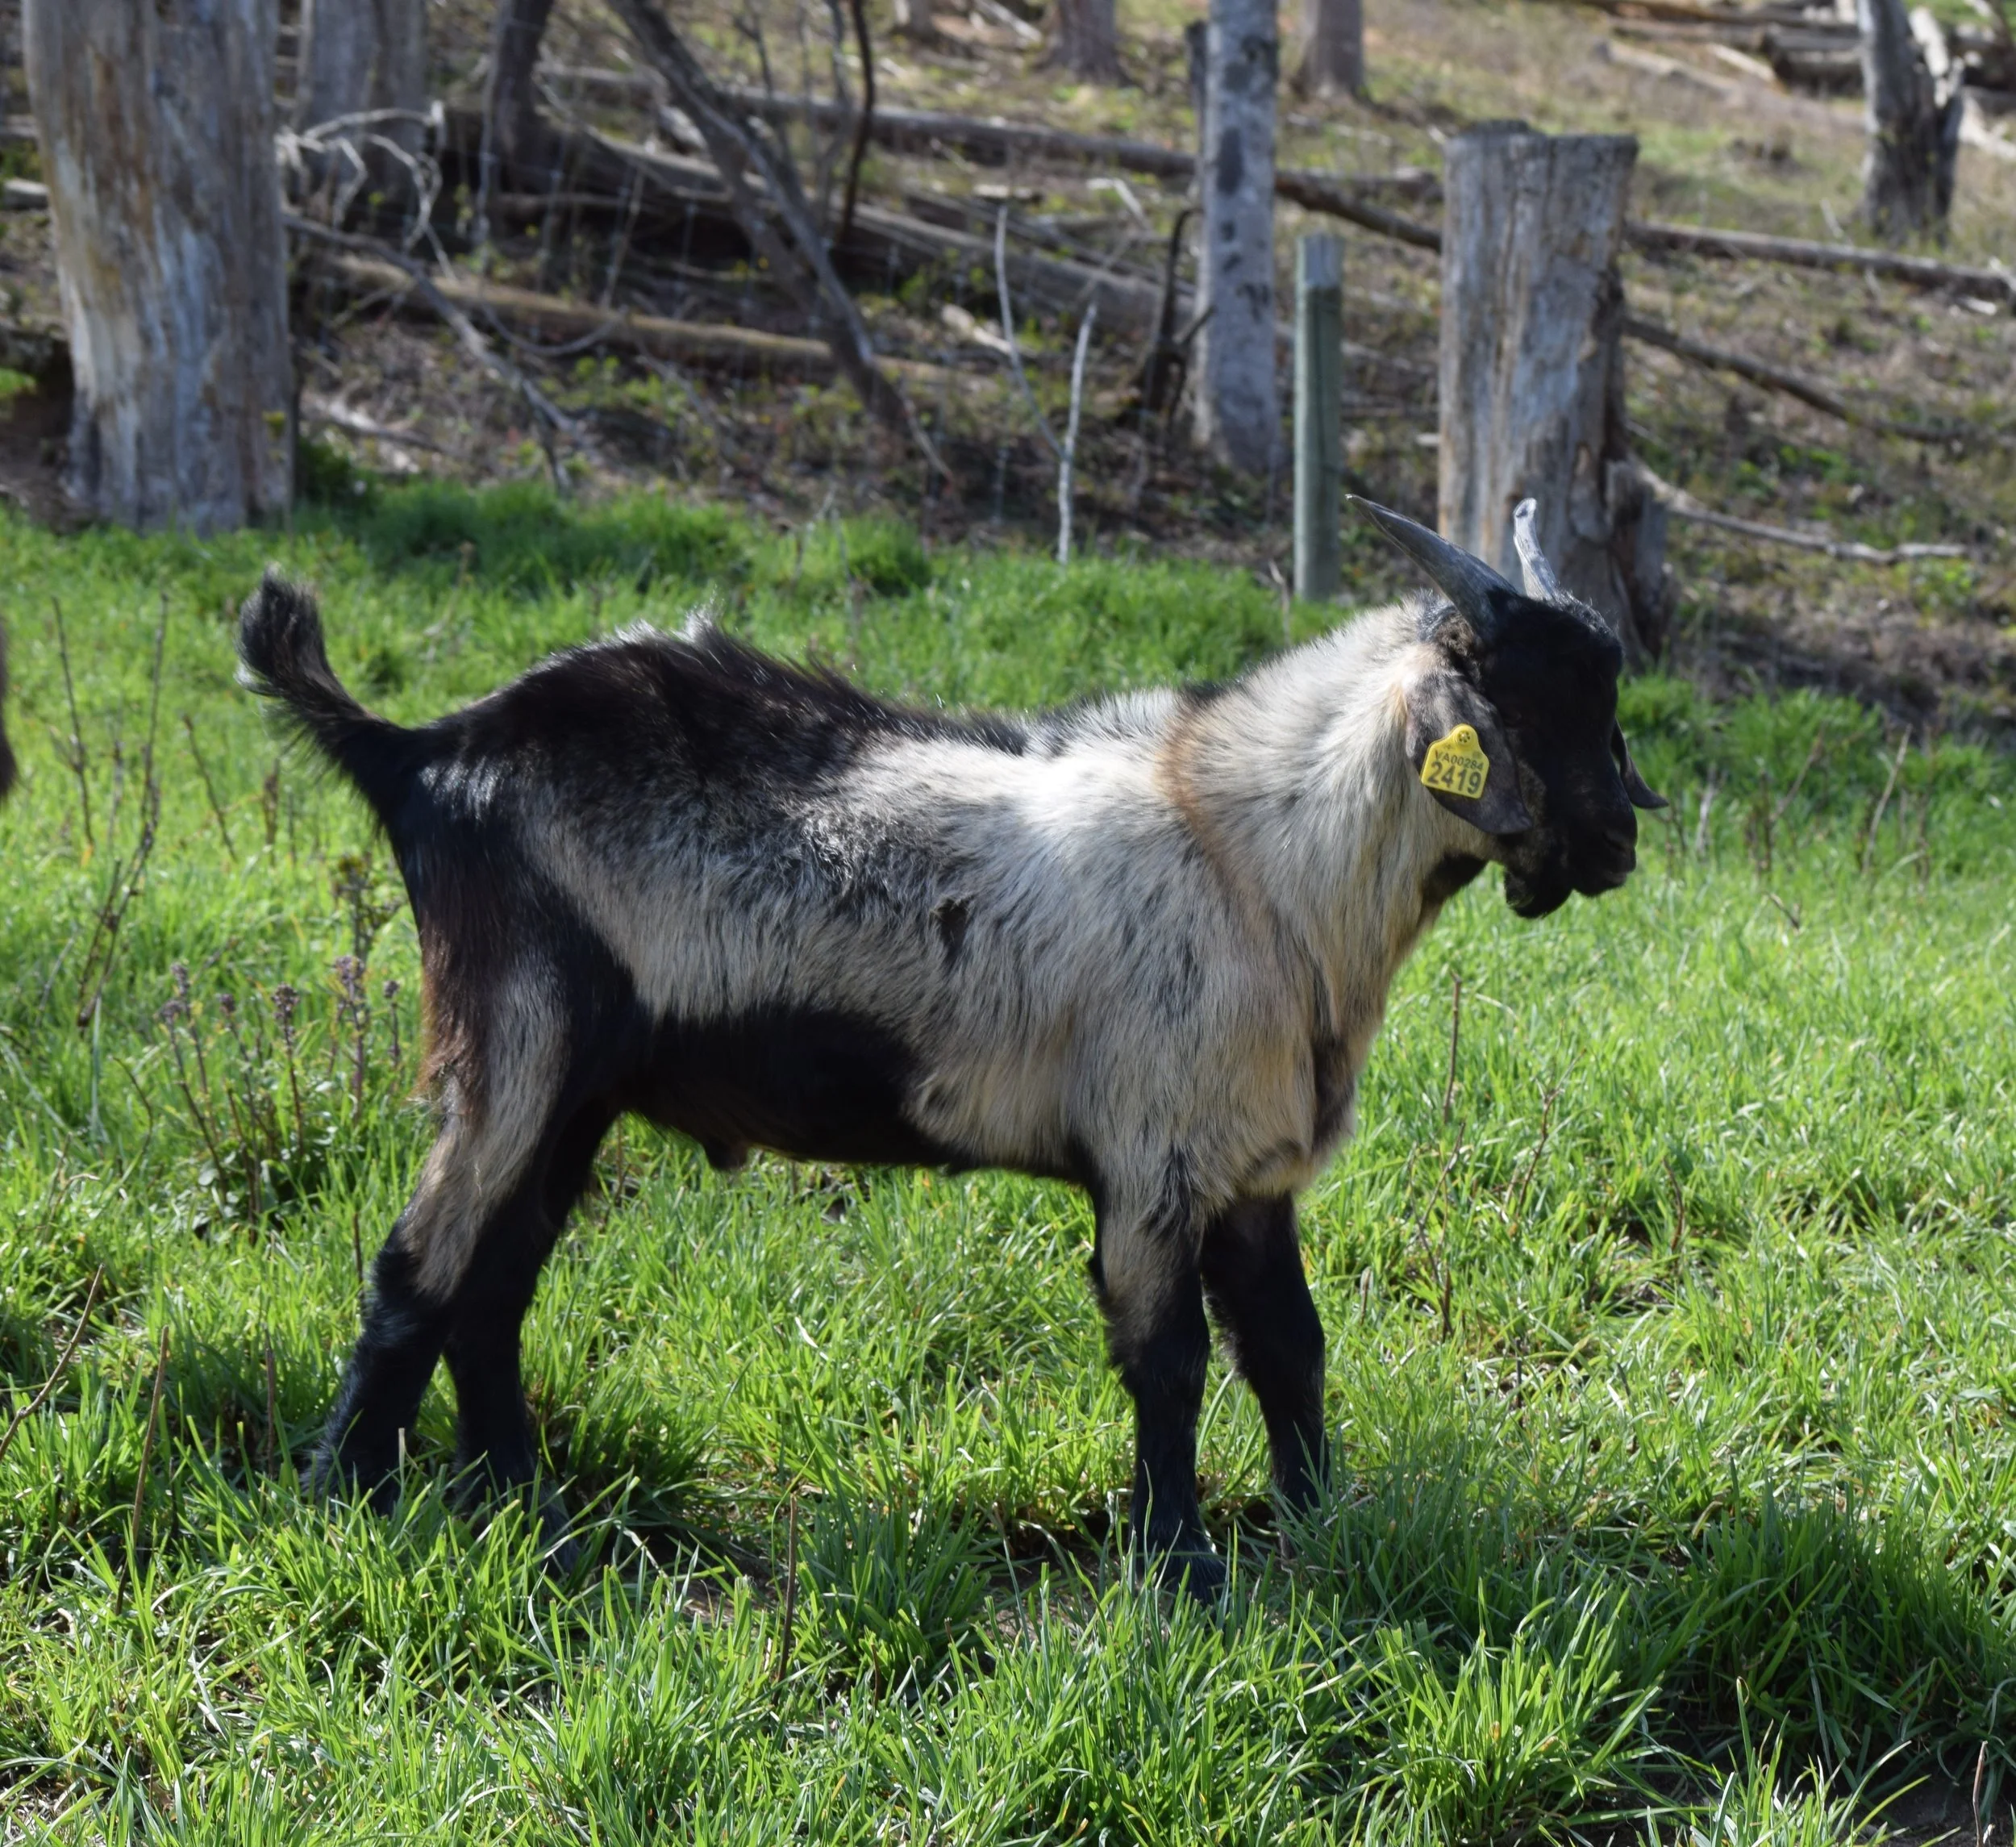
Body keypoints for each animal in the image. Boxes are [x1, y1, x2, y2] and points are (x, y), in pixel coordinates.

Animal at [238, 498, 1664, 1587]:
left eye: (1607, 700)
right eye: (1518, 697)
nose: (1615, 844)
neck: (1252, 862)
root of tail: (428, 753)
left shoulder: (1252, 1167)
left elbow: (1289, 1346)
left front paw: (1320, 1520)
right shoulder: (1151, 1159)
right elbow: (1169, 1360)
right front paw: (1178, 1565)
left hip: (581, 1089)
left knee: (494, 1283)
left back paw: (524, 1503)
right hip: (516, 1037)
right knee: (420, 1261)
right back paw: (350, 1498)